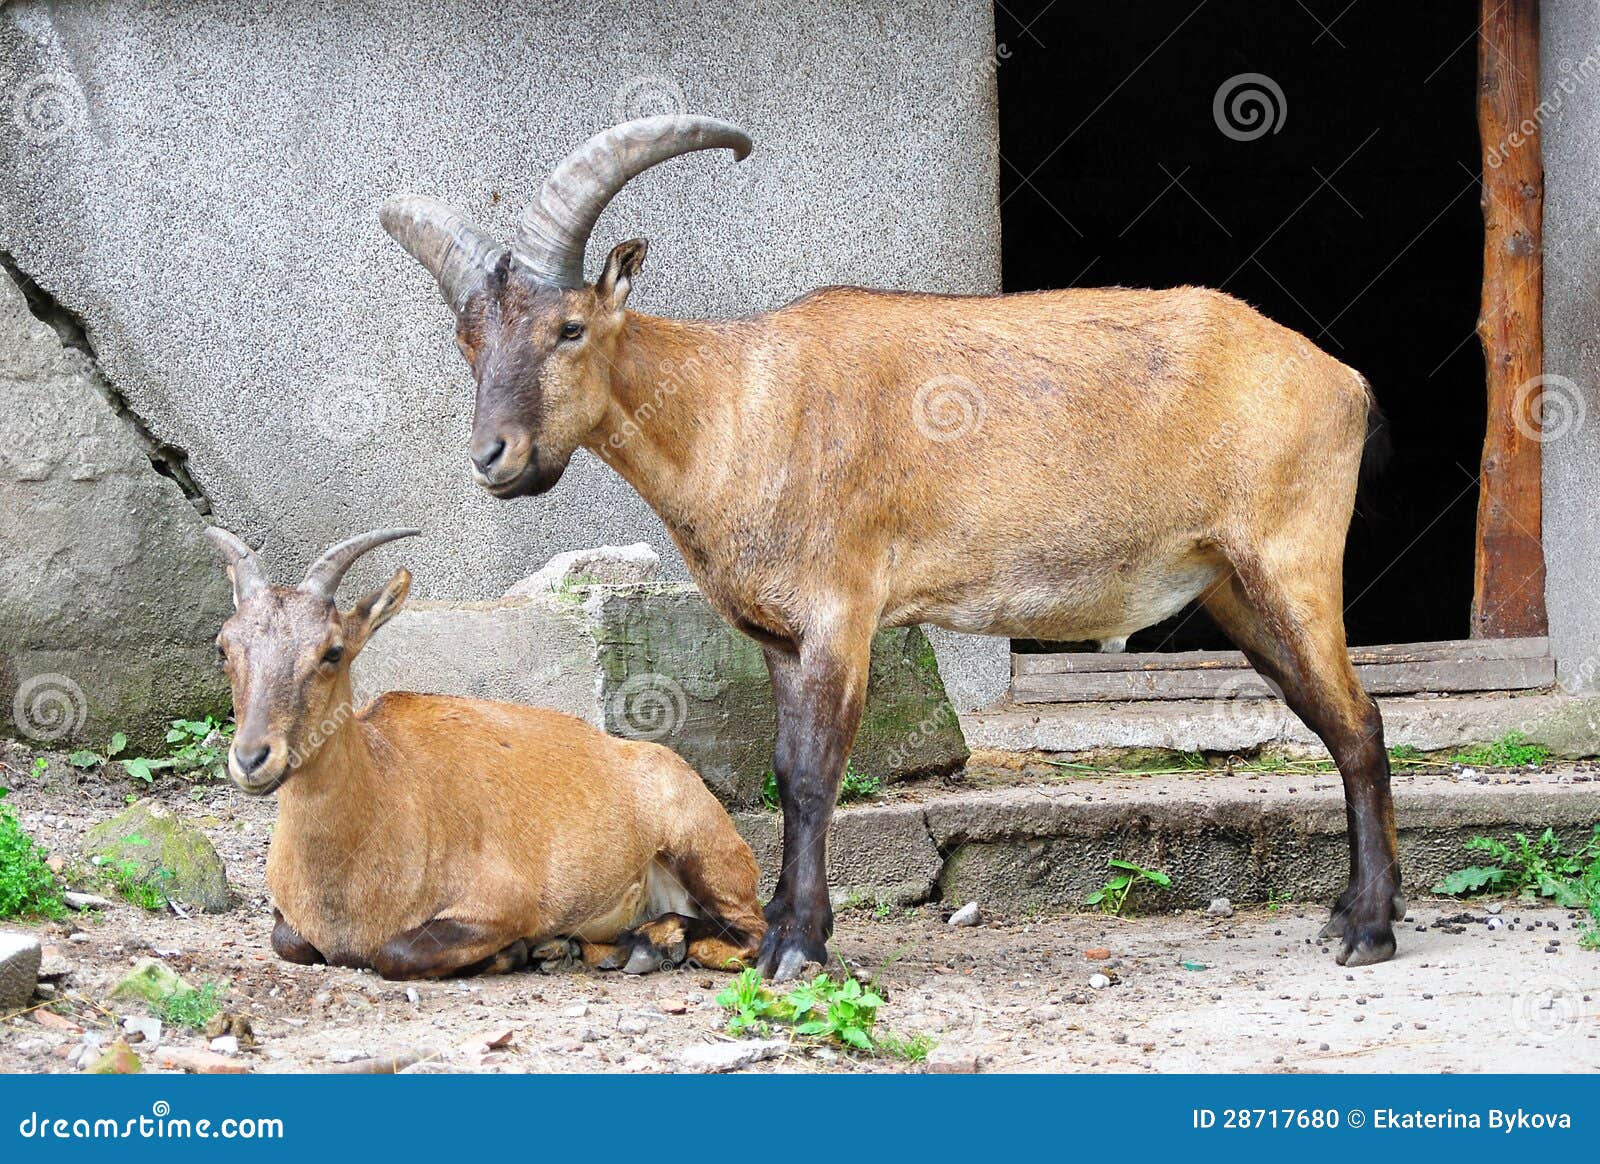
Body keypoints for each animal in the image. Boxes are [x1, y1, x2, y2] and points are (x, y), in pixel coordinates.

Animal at [203, 525, 765, 979]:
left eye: (332, 651)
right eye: (224, 646)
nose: (252, 759)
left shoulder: (502, 903)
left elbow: (396, 953)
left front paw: (516, 952)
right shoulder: (291, 923)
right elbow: (289, 941)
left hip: (702, 851)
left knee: (748, 934)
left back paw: (650, 945)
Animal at [382, 114, 1402, 978]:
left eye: (571, 327)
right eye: (470, 341)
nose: (494, 457)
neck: (735, 406)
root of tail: (1342, 379)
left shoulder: (843, 609)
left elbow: (812, 773)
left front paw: (796, 949)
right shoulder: (781, 636)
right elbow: (785, 767)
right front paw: (781, 932)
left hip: (1290, 560)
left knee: (1358, 721)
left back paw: (1368, 929)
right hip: (1232, 584)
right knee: (1329, 717)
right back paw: (1355, 911)